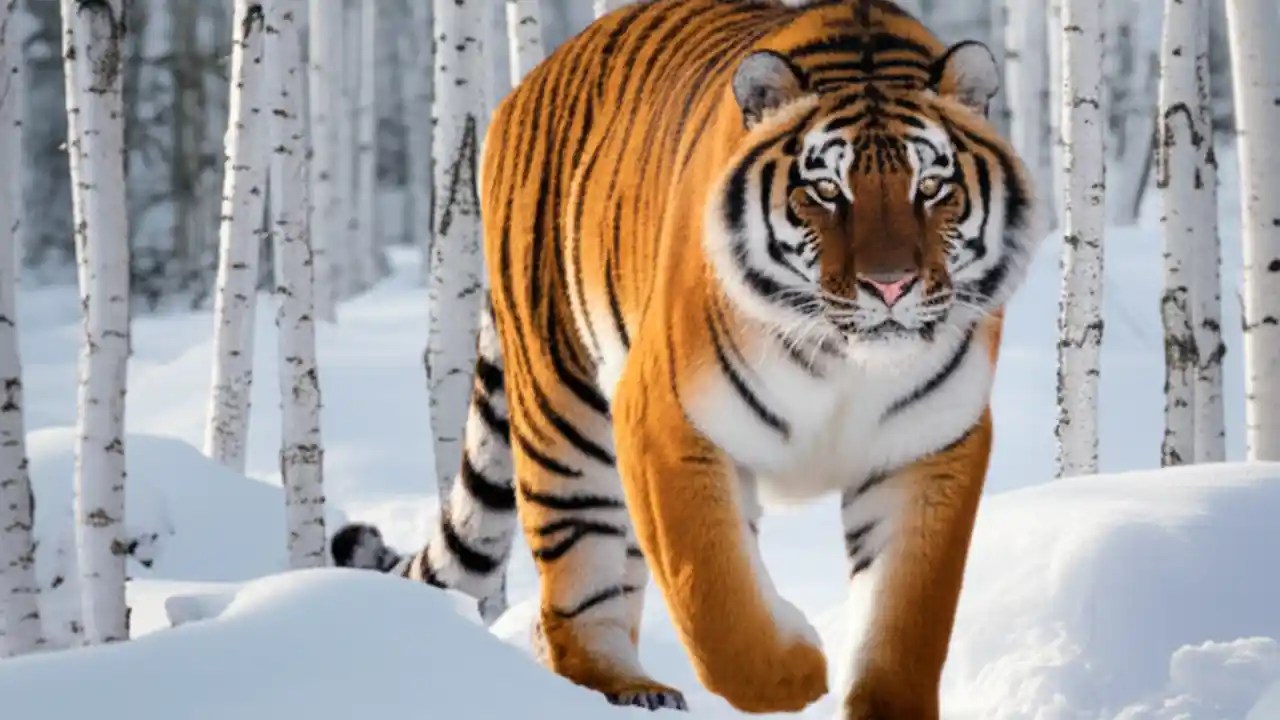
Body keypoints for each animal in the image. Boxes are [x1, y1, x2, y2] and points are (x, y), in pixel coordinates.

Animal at [332, 0, 1040, 715]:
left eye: (932, 186)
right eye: (825, 190)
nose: (891, 285)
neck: (845, 363)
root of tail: (530, 81)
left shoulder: (929, 449)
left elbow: (904, 623)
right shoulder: (666, 424)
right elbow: (718, 603)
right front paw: (800, 665)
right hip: (566, 420)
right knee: (575, 590)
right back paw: (623, 686)